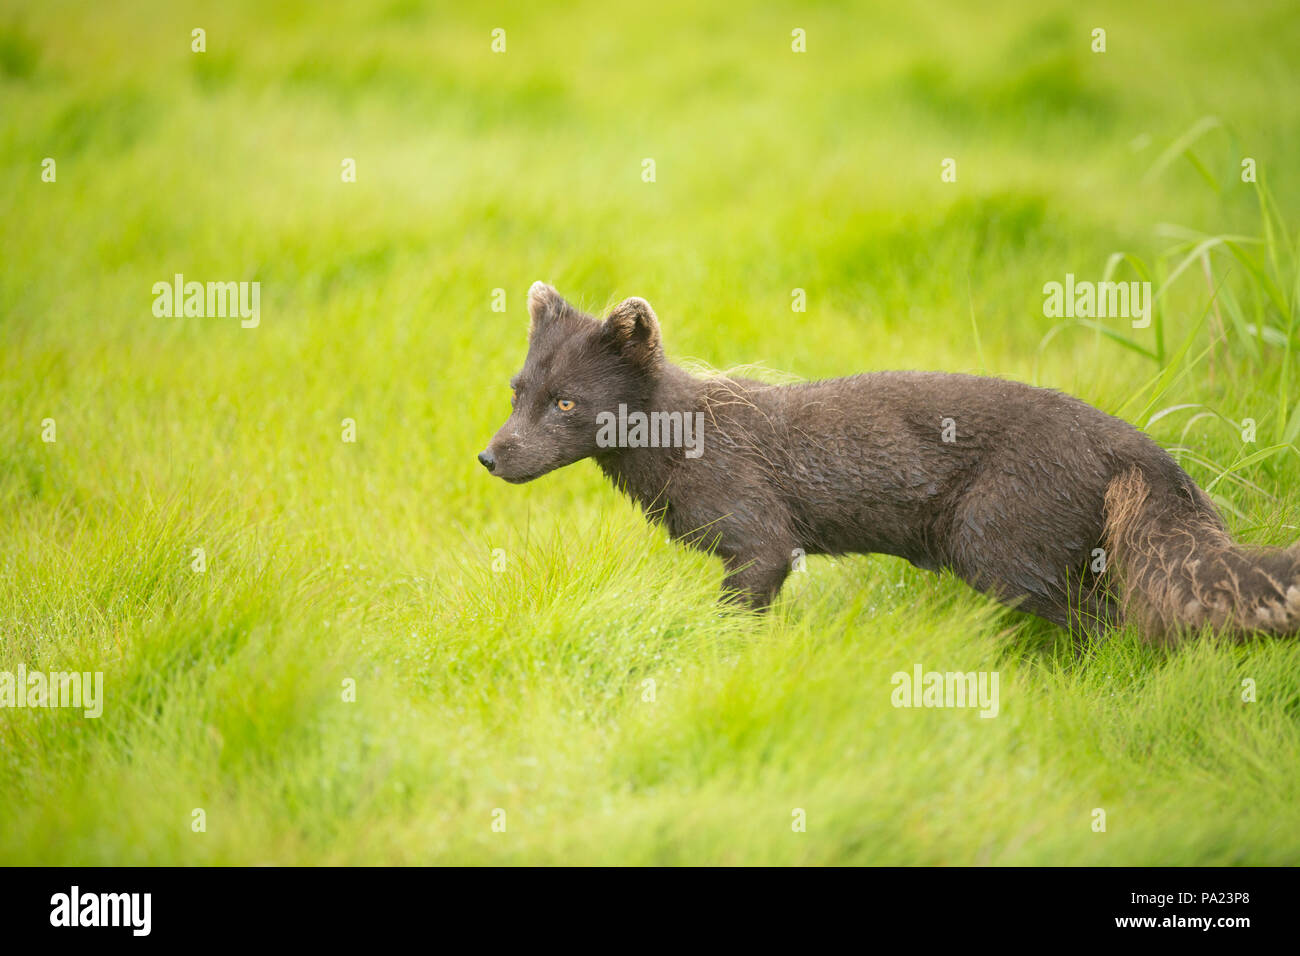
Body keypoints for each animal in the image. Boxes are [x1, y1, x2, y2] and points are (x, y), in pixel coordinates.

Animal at [479, 282, 1300, 643]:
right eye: (516, 391)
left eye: (566, 403)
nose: (489, 456)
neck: (689, 441)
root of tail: (1136, 444)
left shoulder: (762, 539)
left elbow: (738, 611)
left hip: (997, 546)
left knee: (1107, 626)